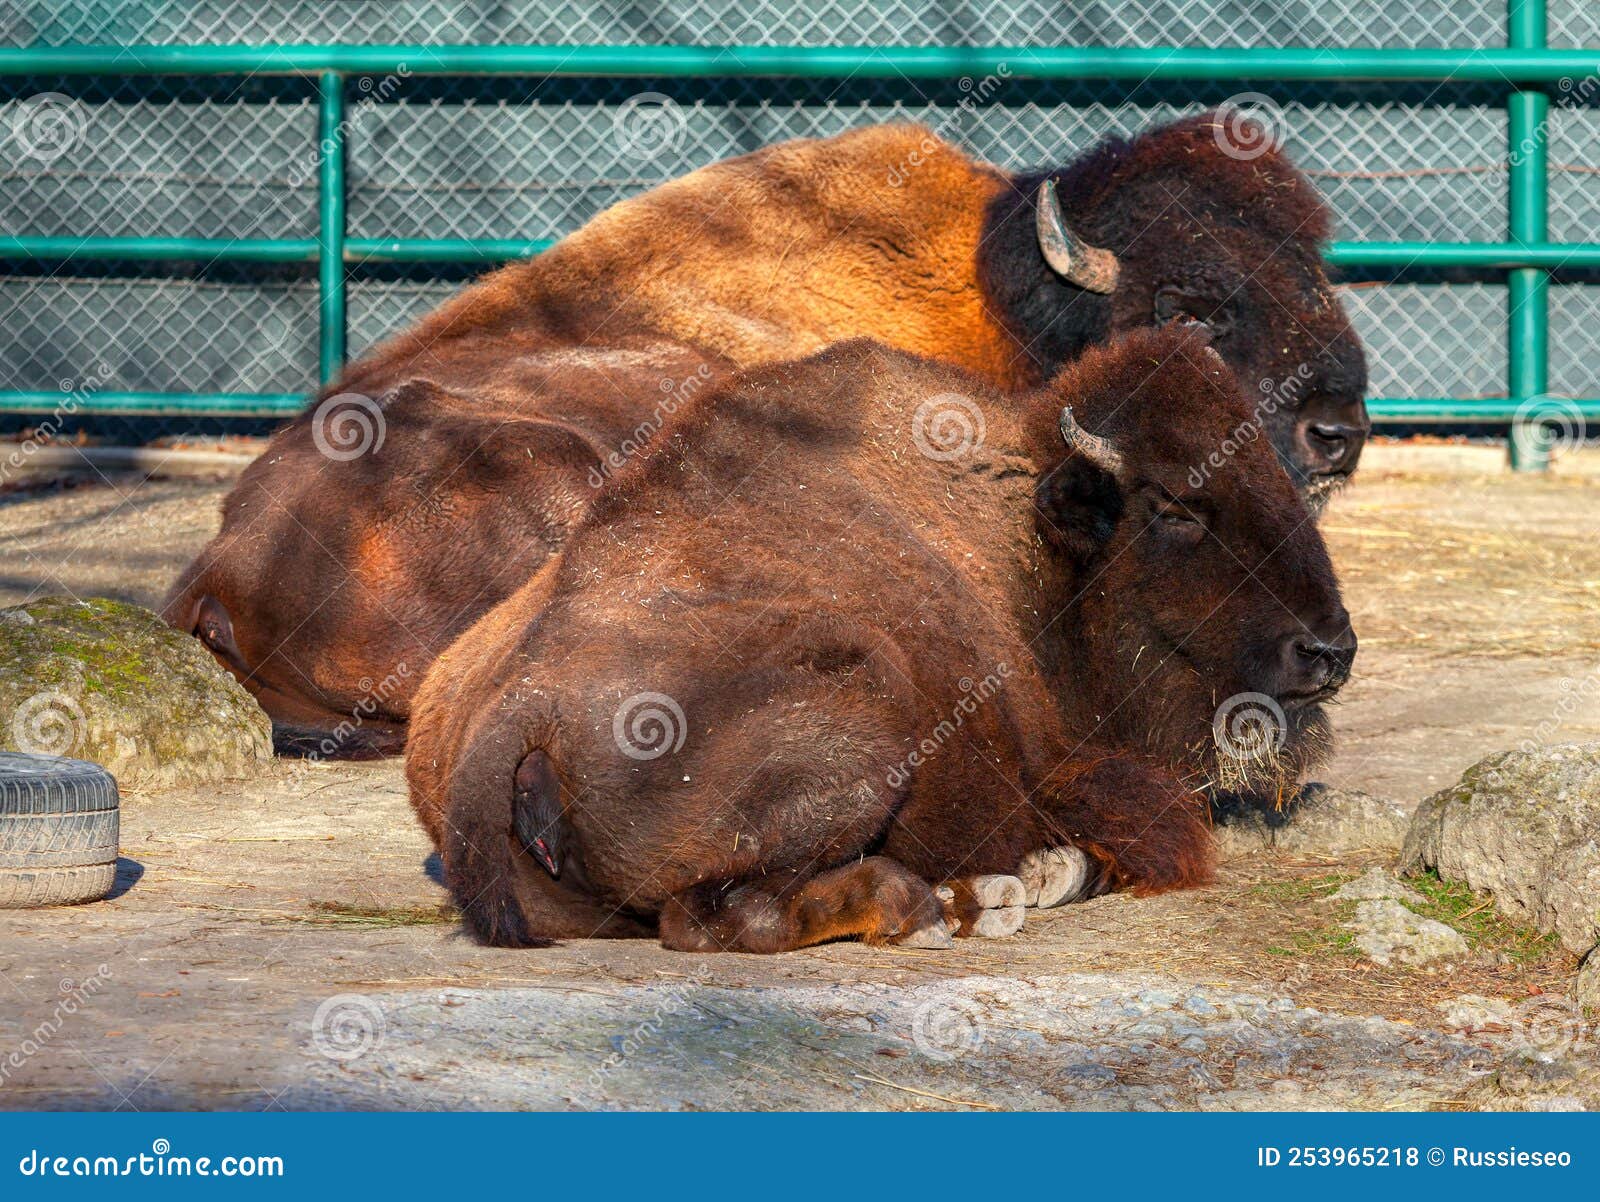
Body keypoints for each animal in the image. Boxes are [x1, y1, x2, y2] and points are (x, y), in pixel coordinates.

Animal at [405, 326, 1356, 951]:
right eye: (1176, 509)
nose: (1329, 651)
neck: (1030, 537)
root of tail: (519, 710)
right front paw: (1035, 877)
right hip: (870, 707)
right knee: (715, 918)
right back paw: (935, 904)